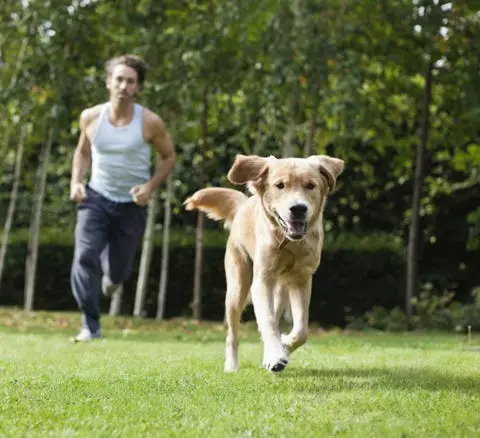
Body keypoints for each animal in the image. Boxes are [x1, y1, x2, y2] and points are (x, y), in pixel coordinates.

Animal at [182, 154, 344, 372]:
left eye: (311, 185)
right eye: (280, 185)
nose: (298, 208)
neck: (288, 242)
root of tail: (243, 205)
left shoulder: (301, 279)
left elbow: (301, 330)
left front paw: (283, 347)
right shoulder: (262, 280)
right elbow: (267, 320)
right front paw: (275, 356)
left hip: (281, 291)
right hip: (237, 287)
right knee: (232, 334)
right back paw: (232, 366)